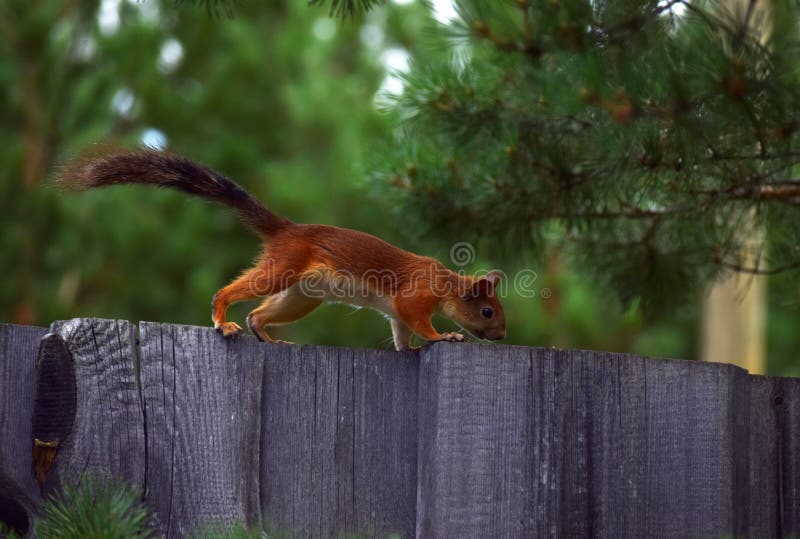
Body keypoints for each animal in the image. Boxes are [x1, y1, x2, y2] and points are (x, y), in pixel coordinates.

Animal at [58, 149, 506, 350]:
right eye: (487, 311)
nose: (501, 335)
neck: (447, 284)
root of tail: (287, 229)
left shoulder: (395, 313)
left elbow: (400, 334)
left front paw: (408, 350)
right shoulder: (415, 297)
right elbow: (419, 322)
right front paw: (445, 335)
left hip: (302, 296)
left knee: (259, 314)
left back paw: (270, 339)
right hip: (283, 269)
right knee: (231, 294)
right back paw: (223, 320)